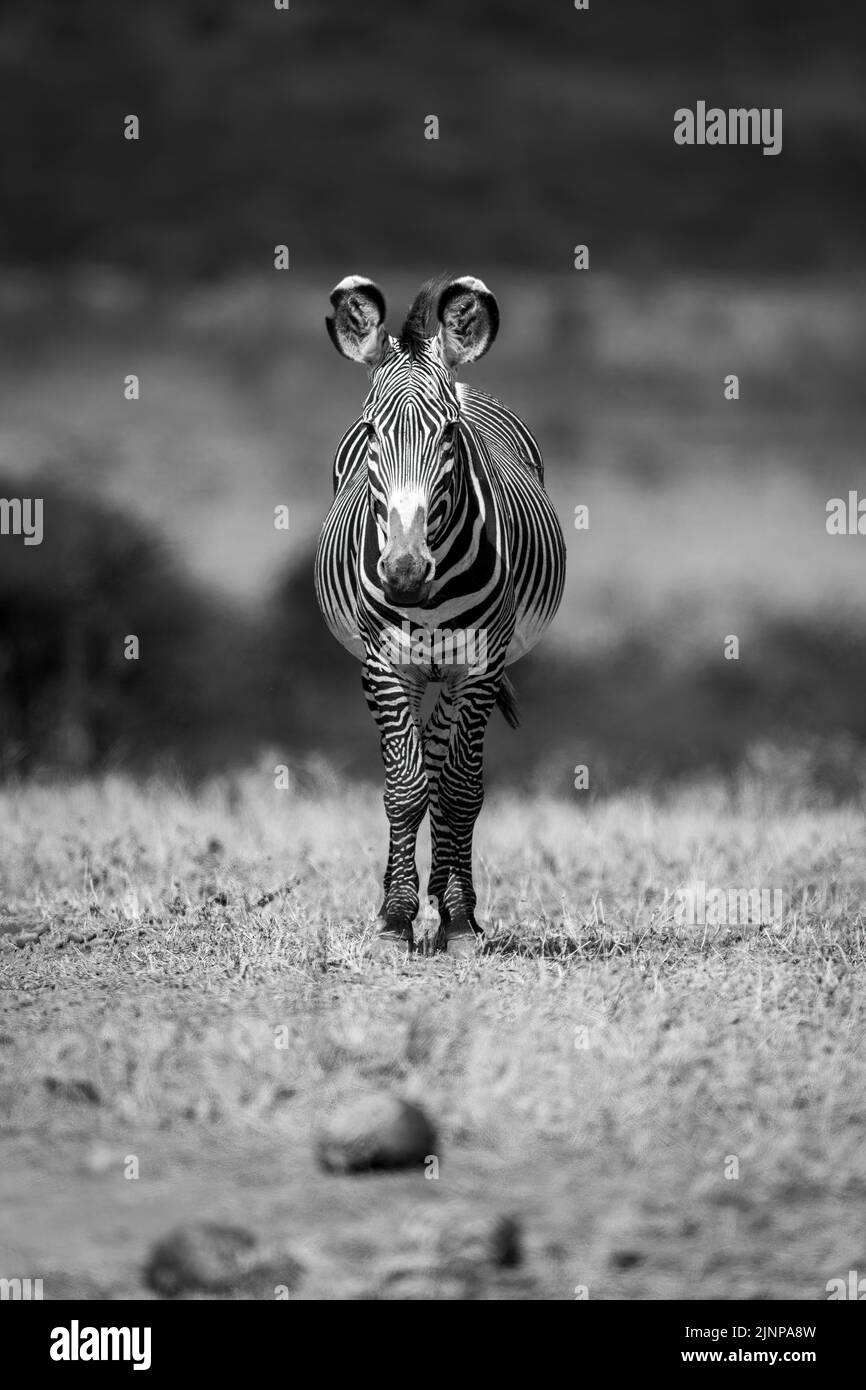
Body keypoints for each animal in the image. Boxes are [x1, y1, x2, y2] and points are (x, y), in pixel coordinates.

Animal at [315, 274, 565, 957]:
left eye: (449, 435)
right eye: (372, 433)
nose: (404, 573)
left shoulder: (479, 669)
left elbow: (458, 790)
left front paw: (455, 919)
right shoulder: (384, 668)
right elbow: (404, 790)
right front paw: (396, 918)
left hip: (457, 676)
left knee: (449, 773)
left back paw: (452, 898)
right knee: (417, 771)